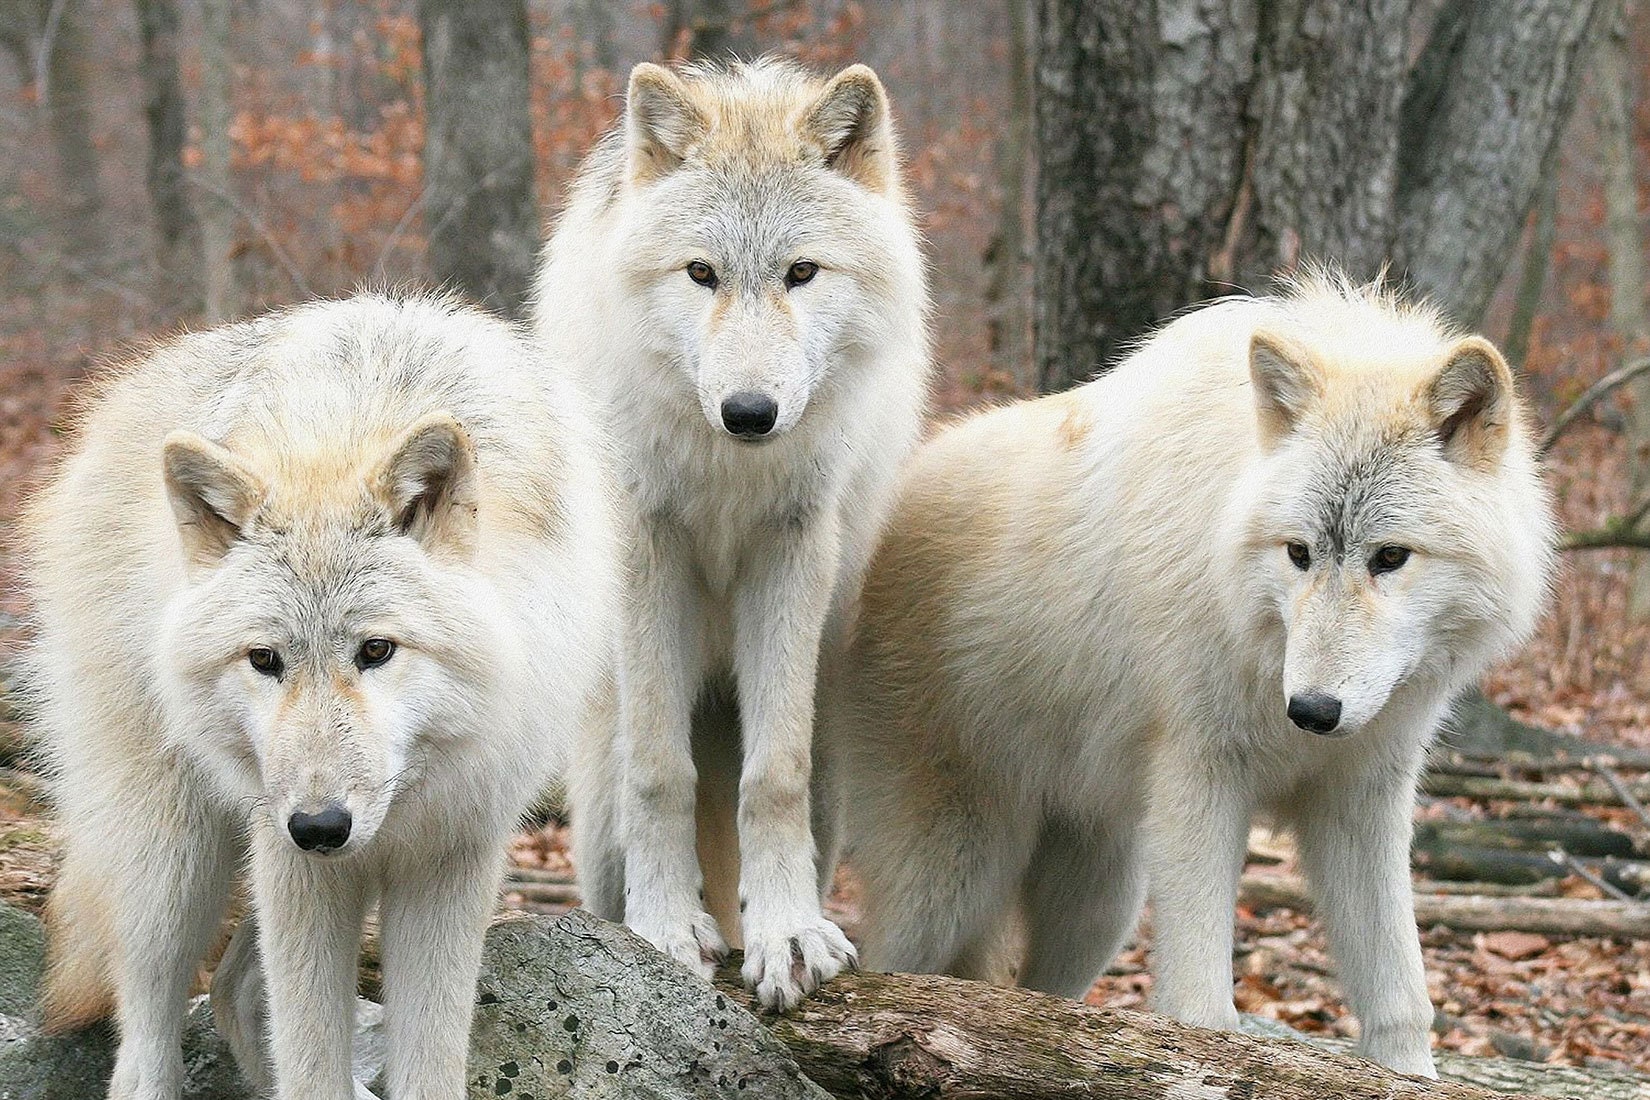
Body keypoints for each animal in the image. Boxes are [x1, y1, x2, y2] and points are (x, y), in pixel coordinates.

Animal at [22, 293, 619, 1100]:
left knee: (234, 991)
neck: (346, 429)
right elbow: (309, 1064)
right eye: (265, 660)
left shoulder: (450, 859)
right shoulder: (295, 864)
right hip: (174, 864)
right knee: (147, 1024)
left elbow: (428, 1062)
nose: (320, 825)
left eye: (376, 651)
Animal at [534, 58, 930, 1008]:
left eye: (802, 272)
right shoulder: (650, 549)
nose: (750, 412)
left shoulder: (793, 549)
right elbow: (660, 771)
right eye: (702, 273)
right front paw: (665, 930)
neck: (728, 467)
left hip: (831, 761)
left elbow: (771, 779)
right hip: (595, 800)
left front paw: (786, 937)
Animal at [831, 275, 1556, 1075]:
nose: (1312, 711)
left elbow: (1401, 996)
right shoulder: (1201, 775)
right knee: (888, 968)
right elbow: (1201, 1007)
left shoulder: (1361, 795)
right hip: (952, 878)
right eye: (1299, 553)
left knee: (1038, 997)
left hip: (1103, 901)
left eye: (1390, 557)